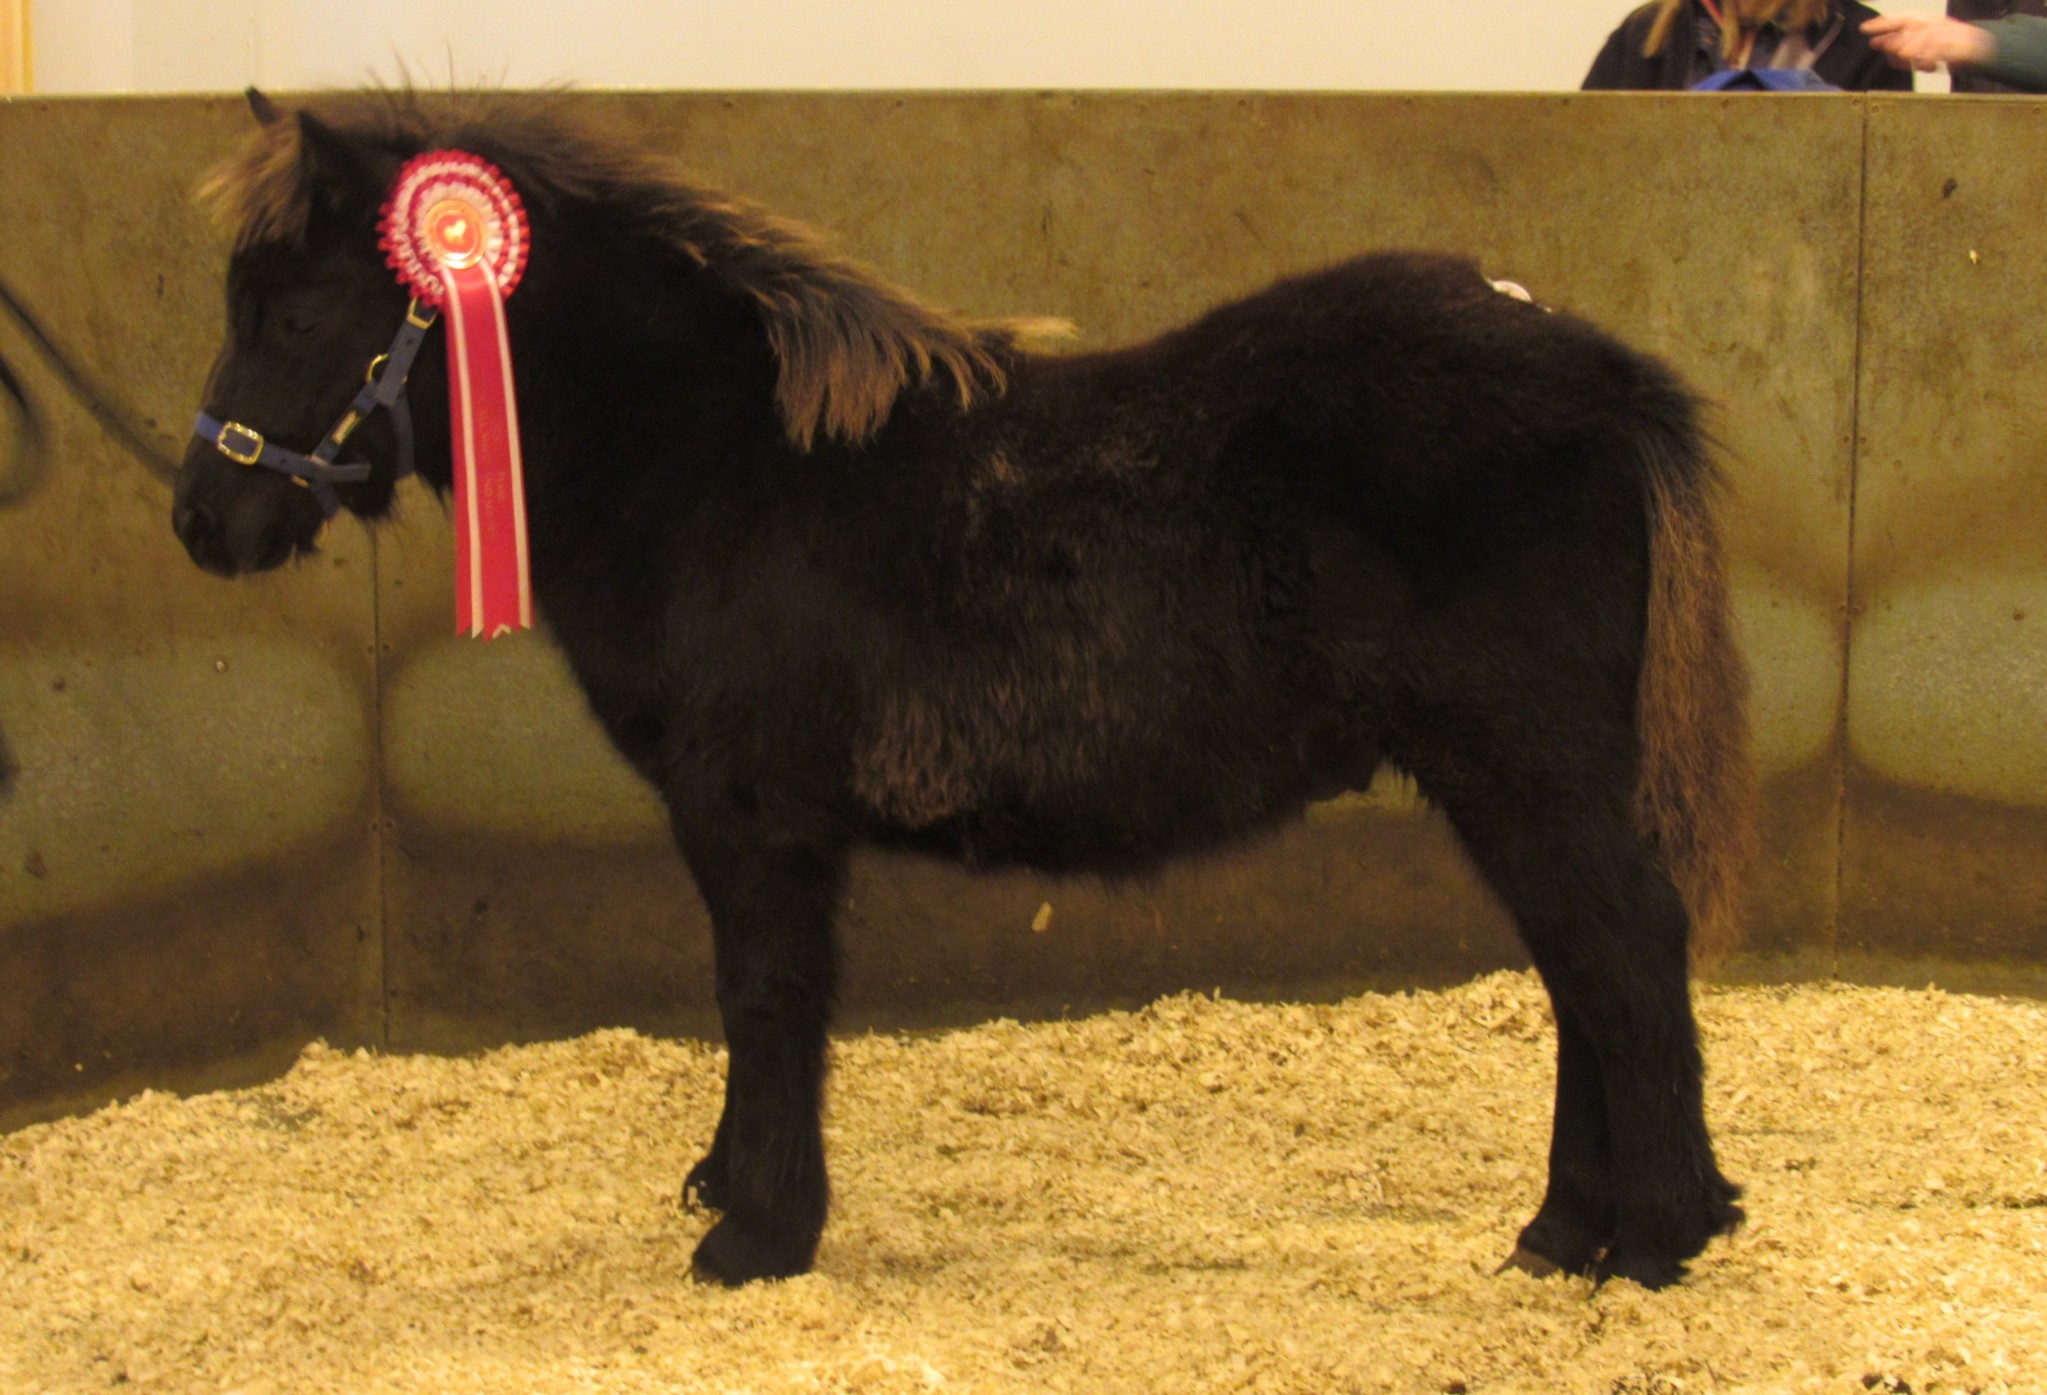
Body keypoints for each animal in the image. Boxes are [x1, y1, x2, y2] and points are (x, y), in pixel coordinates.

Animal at [171, 89, 1754, 1290]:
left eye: (296, 313)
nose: (202, 520)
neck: (723, 463)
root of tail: (1593, 368)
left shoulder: (755, 818)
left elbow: (764, 995)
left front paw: (756, 1232)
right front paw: (729, 1192)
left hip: (1527, 770)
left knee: (1621, 956)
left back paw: (1653, 1236)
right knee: (1582, 976)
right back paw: (1564, 1231)